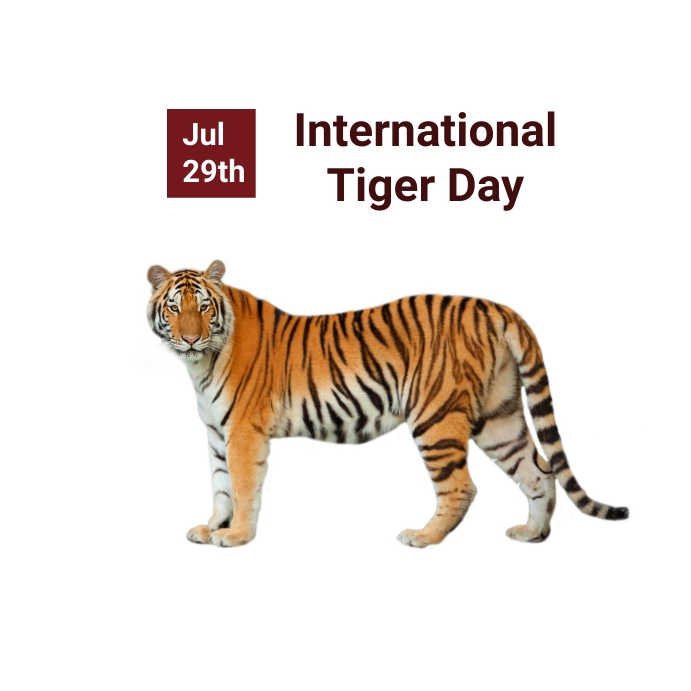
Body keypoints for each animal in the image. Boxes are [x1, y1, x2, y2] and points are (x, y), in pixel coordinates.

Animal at [146, 260, 628, 548]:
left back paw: (423, 537)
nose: (190, 338)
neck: (200, 363)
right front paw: (212, 527)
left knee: (463, 486)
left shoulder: (244, 432)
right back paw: (532, 533)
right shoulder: (217, 433)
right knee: (539, 471)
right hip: (499, 416)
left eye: (203, 308)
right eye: (173, 309)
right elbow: (220, 485)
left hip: (436, 416)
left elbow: (243, 487)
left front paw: (236, 536)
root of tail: (496, 308)